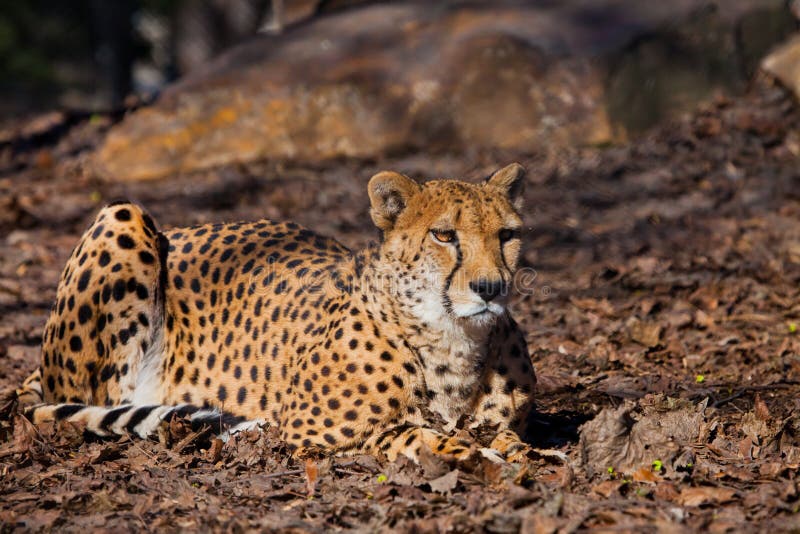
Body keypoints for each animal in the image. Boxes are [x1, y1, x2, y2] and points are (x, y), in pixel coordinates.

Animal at [17, 163, 537, 463]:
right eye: (444, 236)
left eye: (507, 235)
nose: (491, 288)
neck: (454, 340)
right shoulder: (307, 433)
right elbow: (403, 433)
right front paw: (458, 448)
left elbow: (510, 440)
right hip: (122, 217)